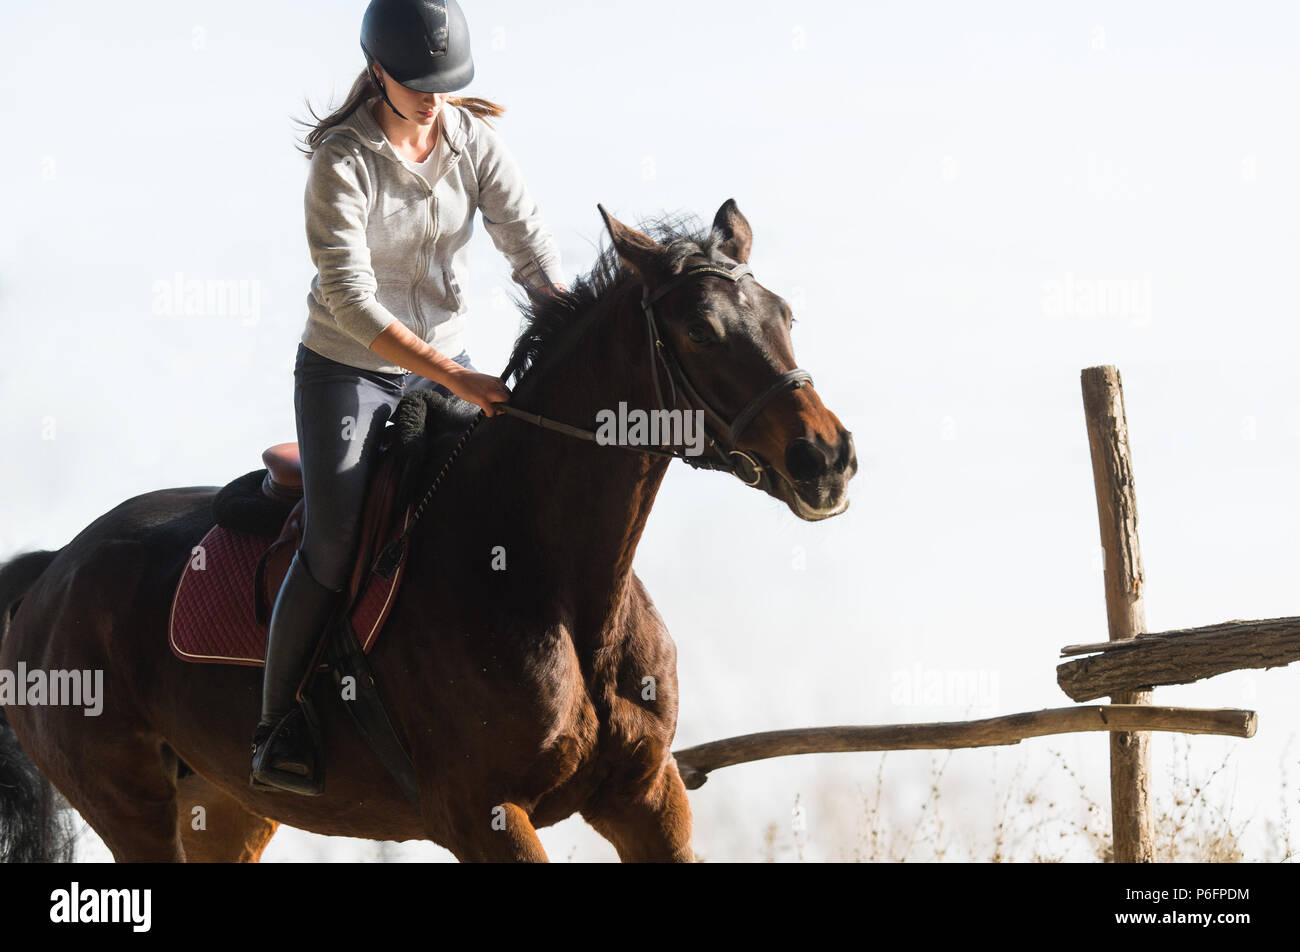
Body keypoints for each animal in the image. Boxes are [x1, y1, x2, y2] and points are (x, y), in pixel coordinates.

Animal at [0, 199, 857, 862]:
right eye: (703, 331)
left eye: (783, 315)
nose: (827, 458)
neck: (551, 582)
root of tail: (55, 570)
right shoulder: (486, 816)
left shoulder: (647, 797)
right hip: (132, 808)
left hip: (228, 807)